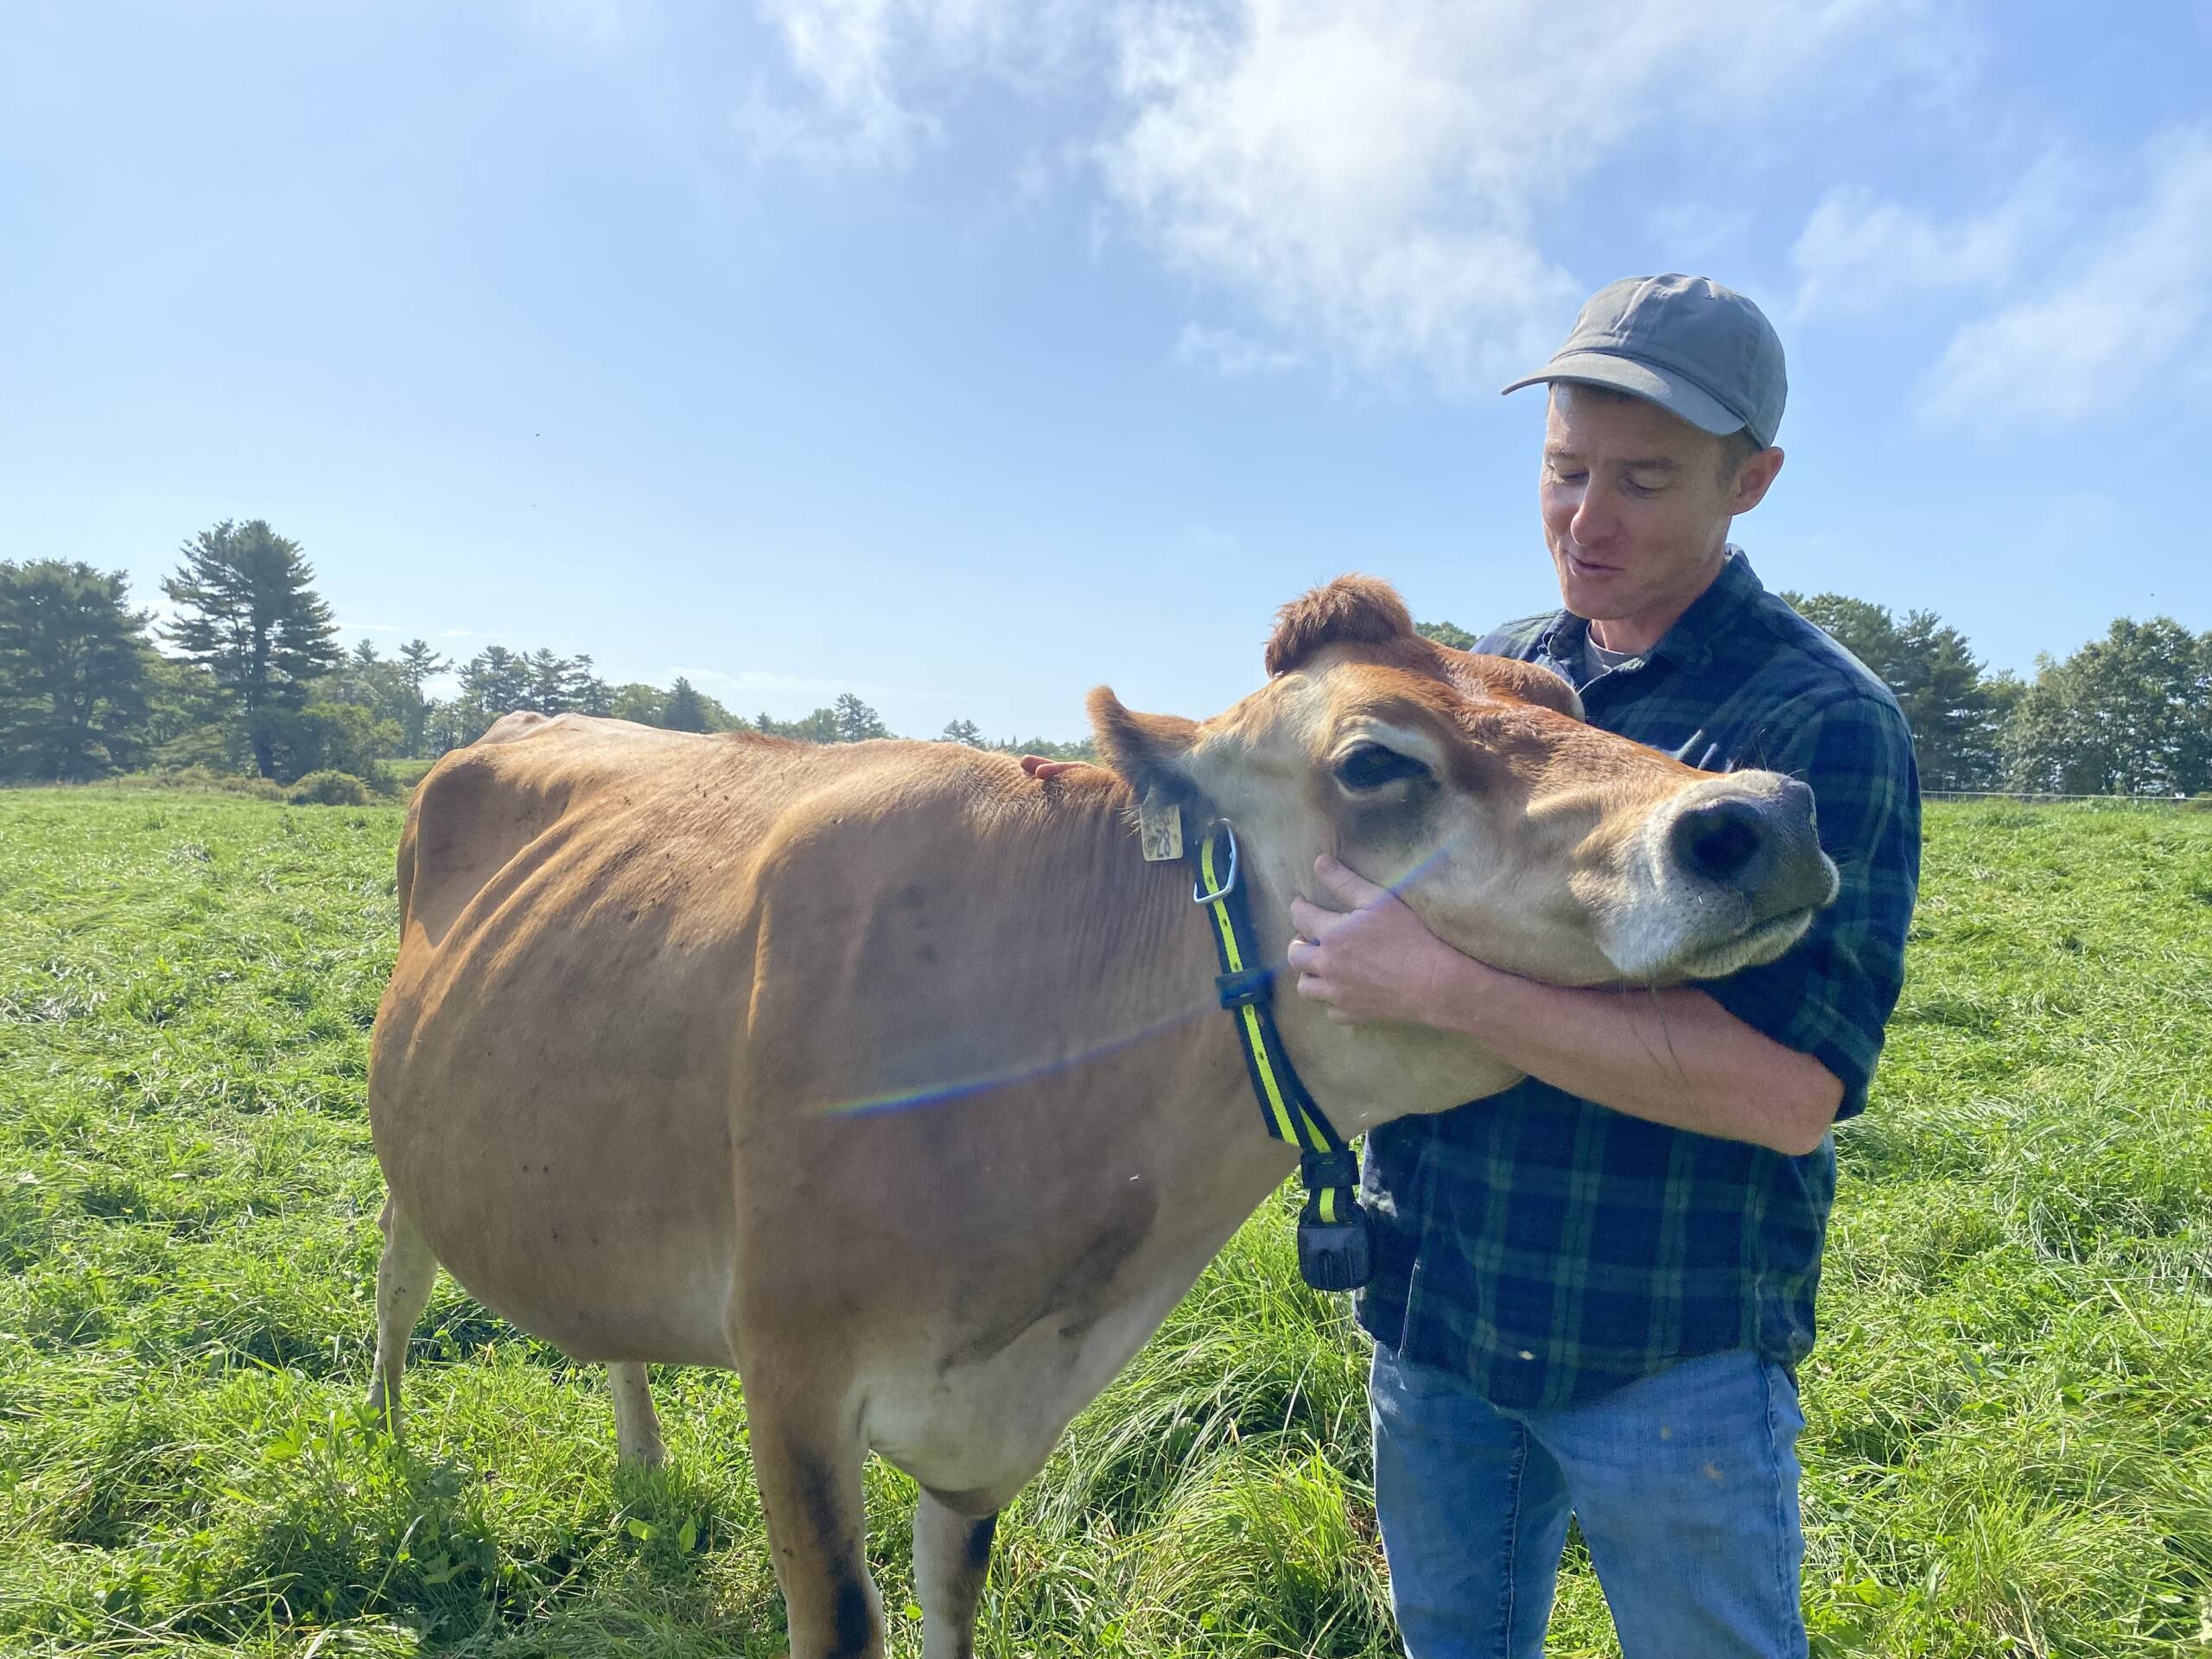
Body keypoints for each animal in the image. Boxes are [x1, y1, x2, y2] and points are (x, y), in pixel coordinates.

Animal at [365, 575, 1836, 1659]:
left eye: (1557, 693)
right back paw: (381, 1449)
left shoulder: (988, 1428)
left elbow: (953, 1603)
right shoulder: (789, 1372)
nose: (1763, 815)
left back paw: (644, 1465)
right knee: (396, 1274)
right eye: (1374, 759)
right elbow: (847, 1621)